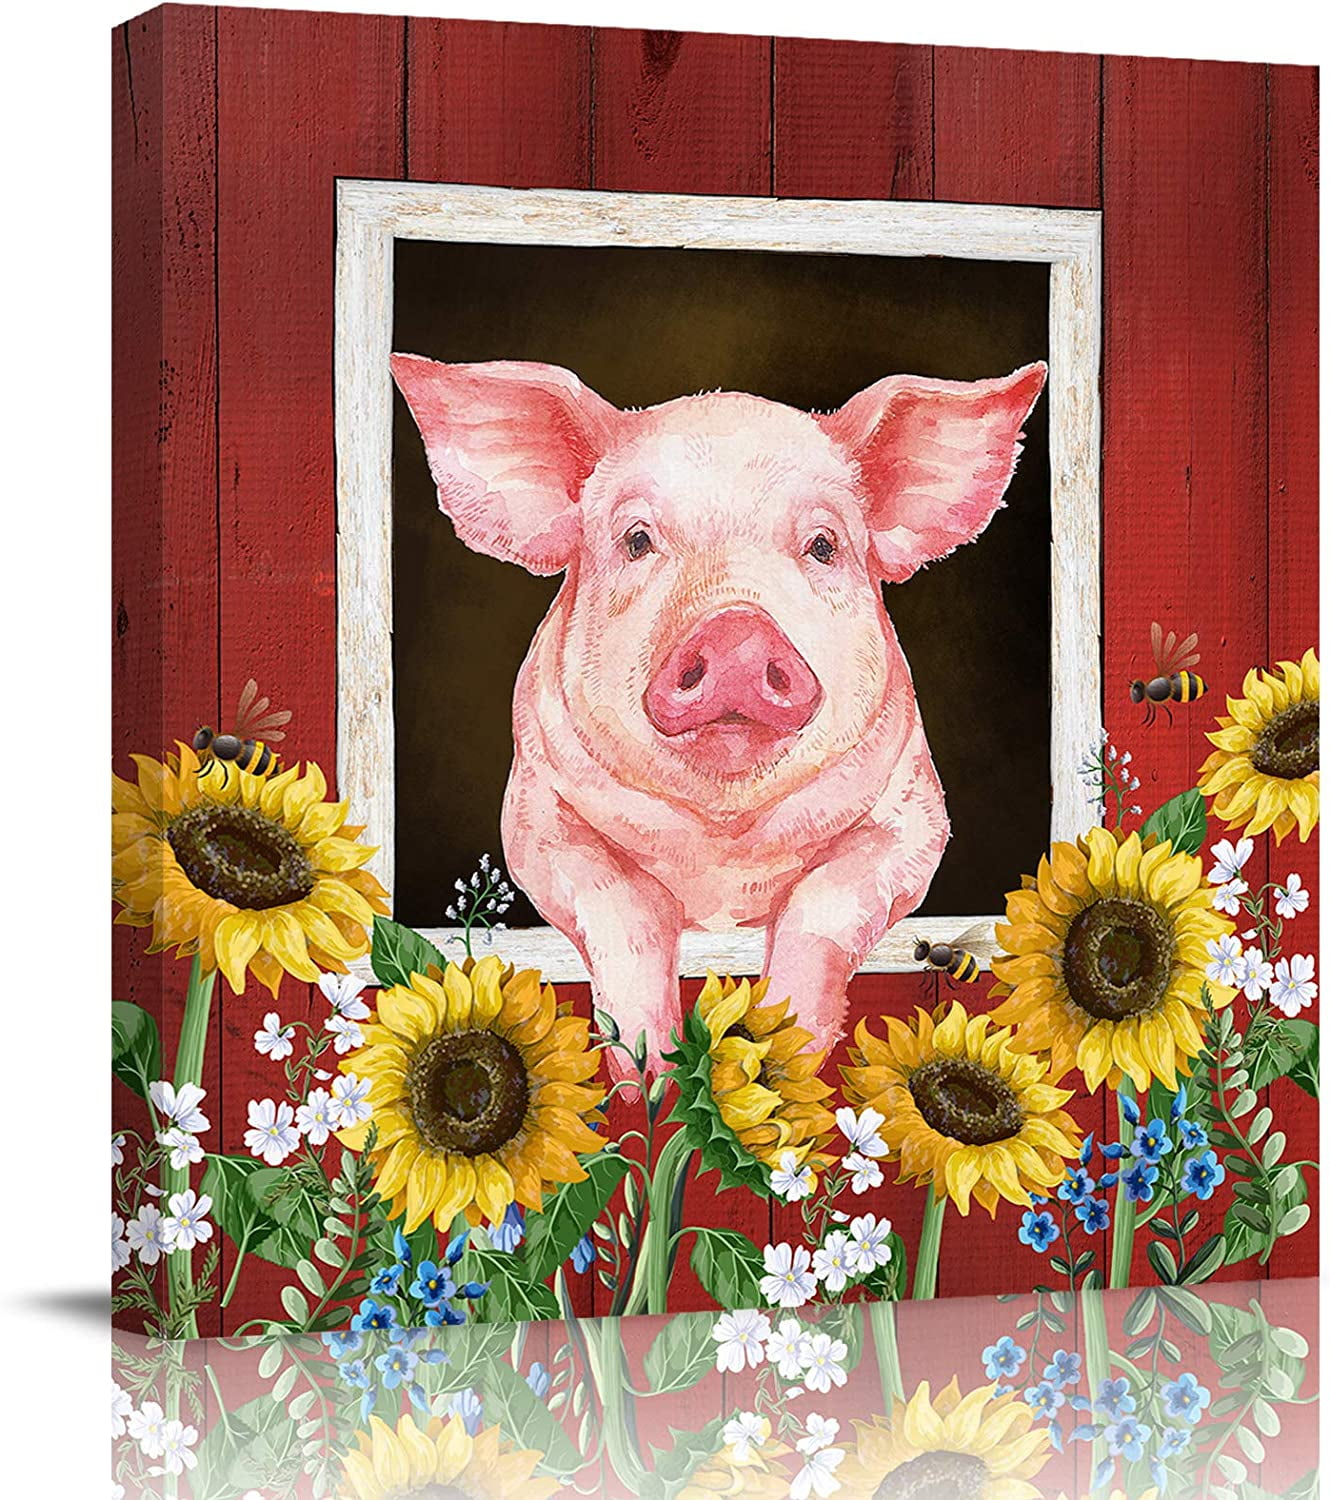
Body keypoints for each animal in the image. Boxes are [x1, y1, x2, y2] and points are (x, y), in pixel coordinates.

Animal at [391, 353, 1047, 1071]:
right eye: (637, 539)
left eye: (823, 545)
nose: (736, 633)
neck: (723, 845)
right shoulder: (535, 811)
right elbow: (618, 902)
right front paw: (646, 1070)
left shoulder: (914, 813)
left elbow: (825, 901)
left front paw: (784, 1056)